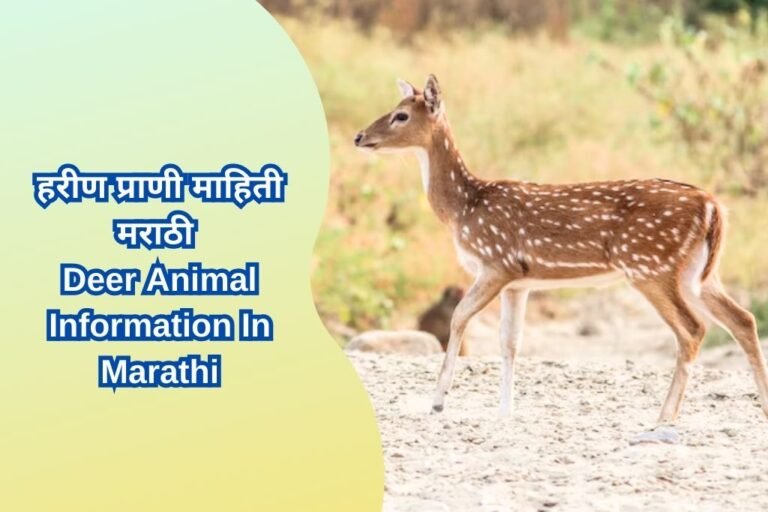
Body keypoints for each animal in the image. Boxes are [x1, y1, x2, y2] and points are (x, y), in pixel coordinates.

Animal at [353, 74, 768, 423]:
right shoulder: (519, 282)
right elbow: (510, 342)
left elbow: (459, 318)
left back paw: (665, 415)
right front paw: (506, 409)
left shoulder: (497, 262)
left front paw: (439, 401)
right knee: (743, 319)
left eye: (401, 115)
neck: (463, 208)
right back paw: (760, 406)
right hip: (698, 272)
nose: (359, 136)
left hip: (649, 265)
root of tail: (713, 206)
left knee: (693, 329)